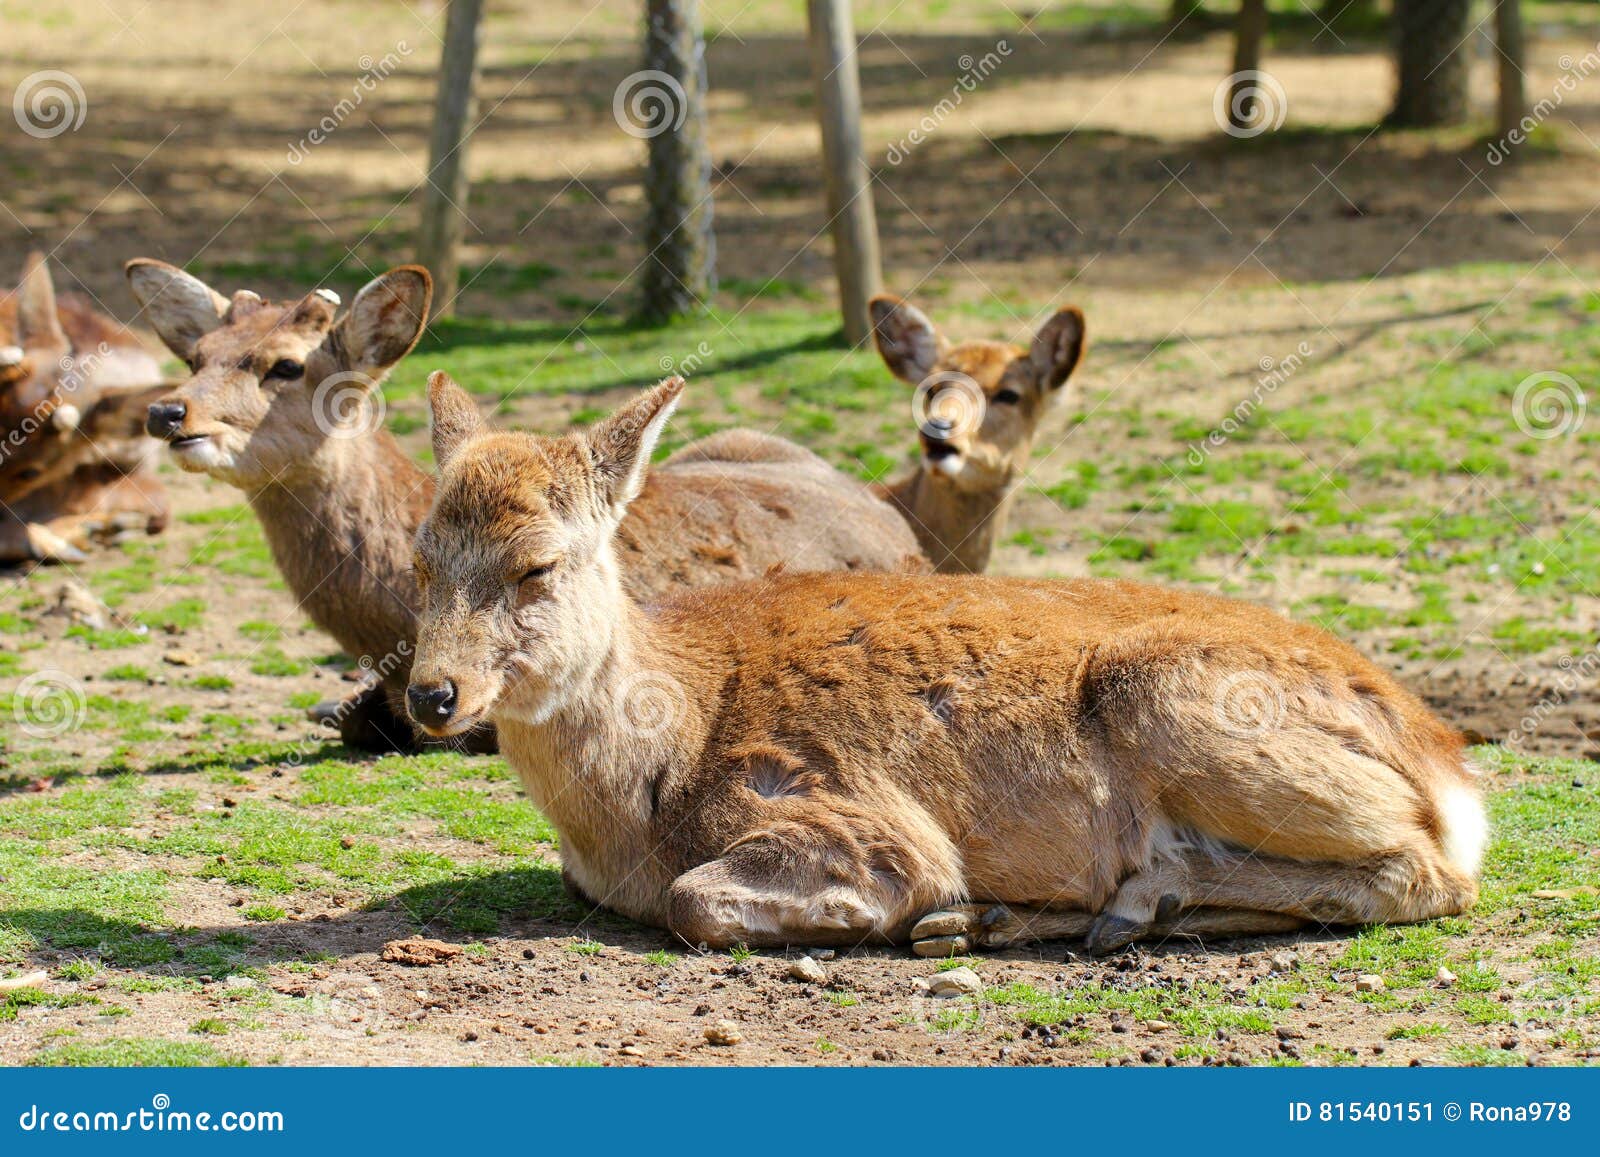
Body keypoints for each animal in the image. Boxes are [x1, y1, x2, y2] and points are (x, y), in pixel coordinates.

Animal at [405, 374, 1487, 957]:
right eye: (418, 555)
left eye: (536, 563)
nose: (431, 692)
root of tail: (1450, 760)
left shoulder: (853, 810)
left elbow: (697, 898)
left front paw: (904, 912)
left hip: (1185, 702)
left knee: (1427, 867)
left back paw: (1114, 897)